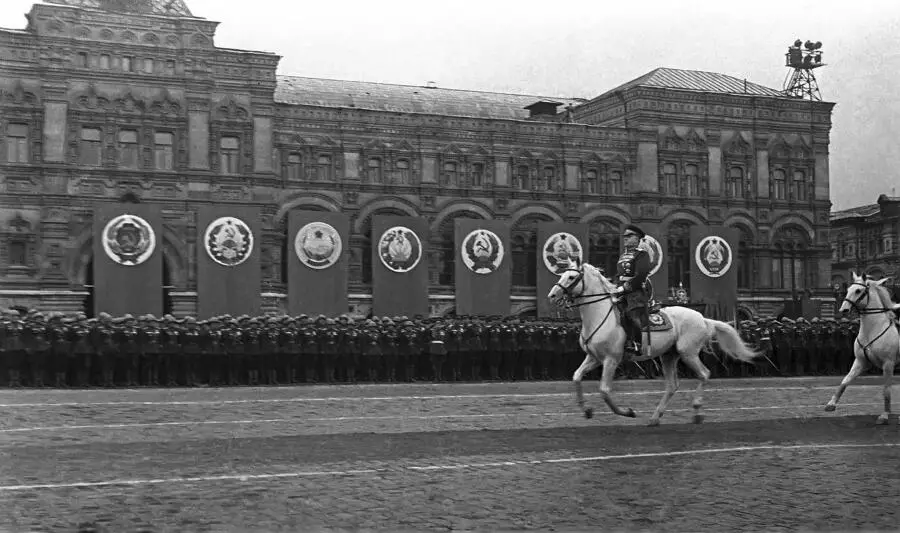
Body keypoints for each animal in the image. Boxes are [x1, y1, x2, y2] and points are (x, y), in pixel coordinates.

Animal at [548, 260, 760, 426]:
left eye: (571, 277)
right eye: (562, 274)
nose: (552, 295)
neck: (599, 315)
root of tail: (703, 318)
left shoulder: (611, 359)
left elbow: (604, 391)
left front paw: (627, 412)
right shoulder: (593, 357)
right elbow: (576, 377)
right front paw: (587, 410)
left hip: (688, 353)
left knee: (704, 374)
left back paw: (697, 412)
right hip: (669, 356)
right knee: (672, 385)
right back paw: (655, 417)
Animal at [828, 270, 896, 424]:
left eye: (858, 290)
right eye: (848, 289)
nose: (843, 310)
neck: (873, 330)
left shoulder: (888, 364)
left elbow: (886, 390)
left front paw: (884, 415)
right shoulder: (861, 362)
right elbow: (845, 381)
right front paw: (831, 403)